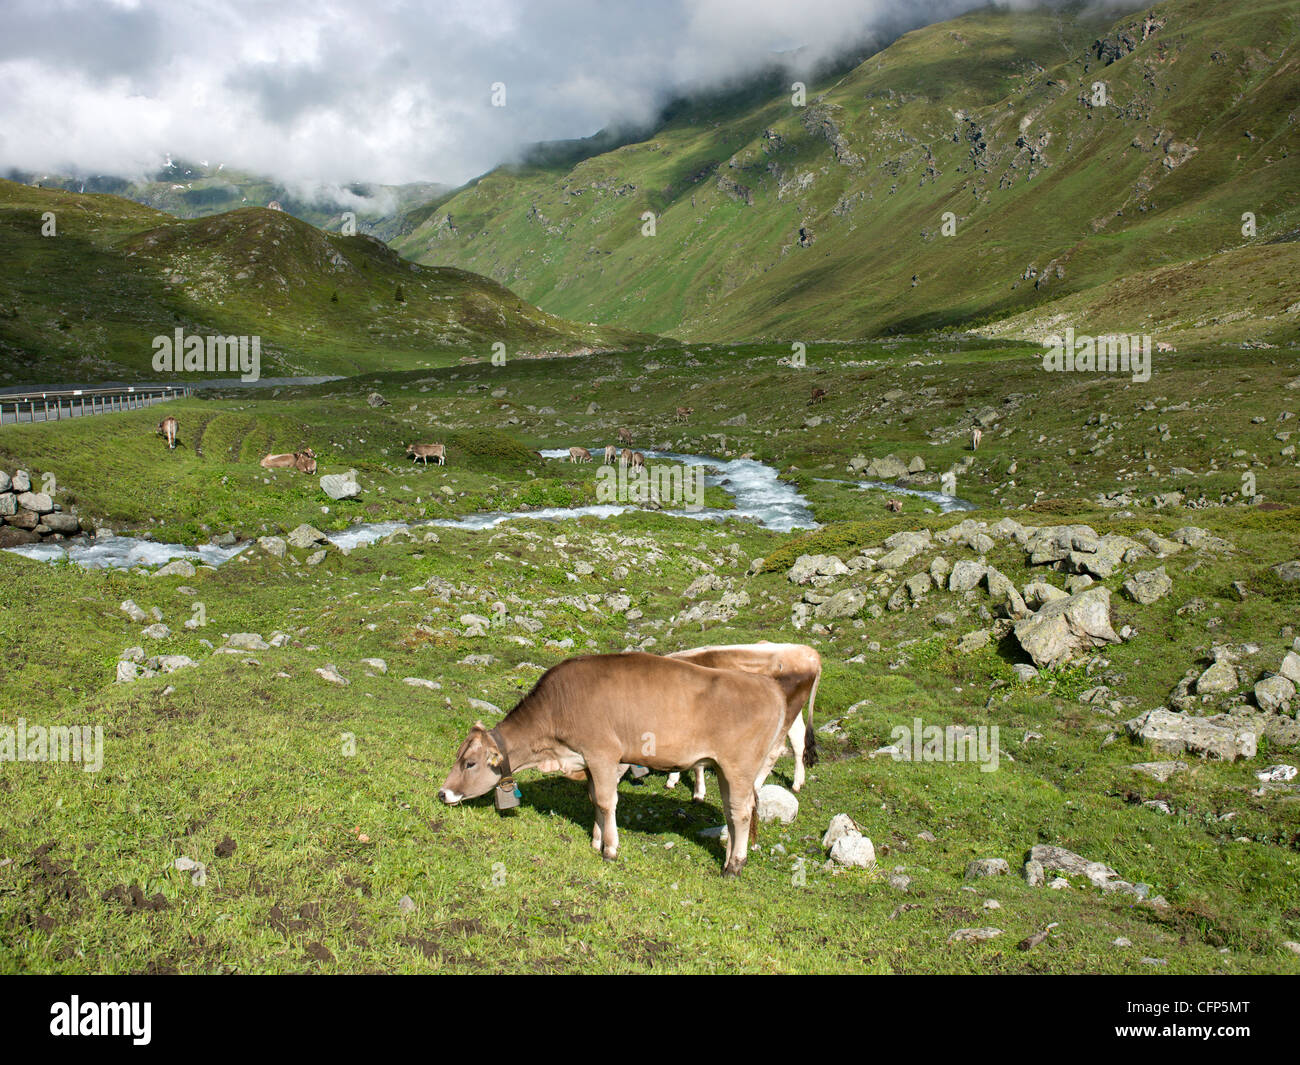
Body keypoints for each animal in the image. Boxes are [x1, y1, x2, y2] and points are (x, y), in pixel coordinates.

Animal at [437, 653, 789, 876]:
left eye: (469, 763)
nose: (442, 793)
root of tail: (769, 686)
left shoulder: (602, 754)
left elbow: (608, 801)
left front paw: (610, 849)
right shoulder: (589, 760)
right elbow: (595, 799)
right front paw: (596, 840)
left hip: (739, 767)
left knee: (741, 813)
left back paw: (734, 867)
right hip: (727, 770)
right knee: (732, 812)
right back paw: (729, 857)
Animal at [662, 643, 821, 799]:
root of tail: (810, 653)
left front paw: (698, 792)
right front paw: (673, 778)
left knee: (775, 751)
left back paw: (756, 786)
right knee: (798, 739)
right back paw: (798, 783)